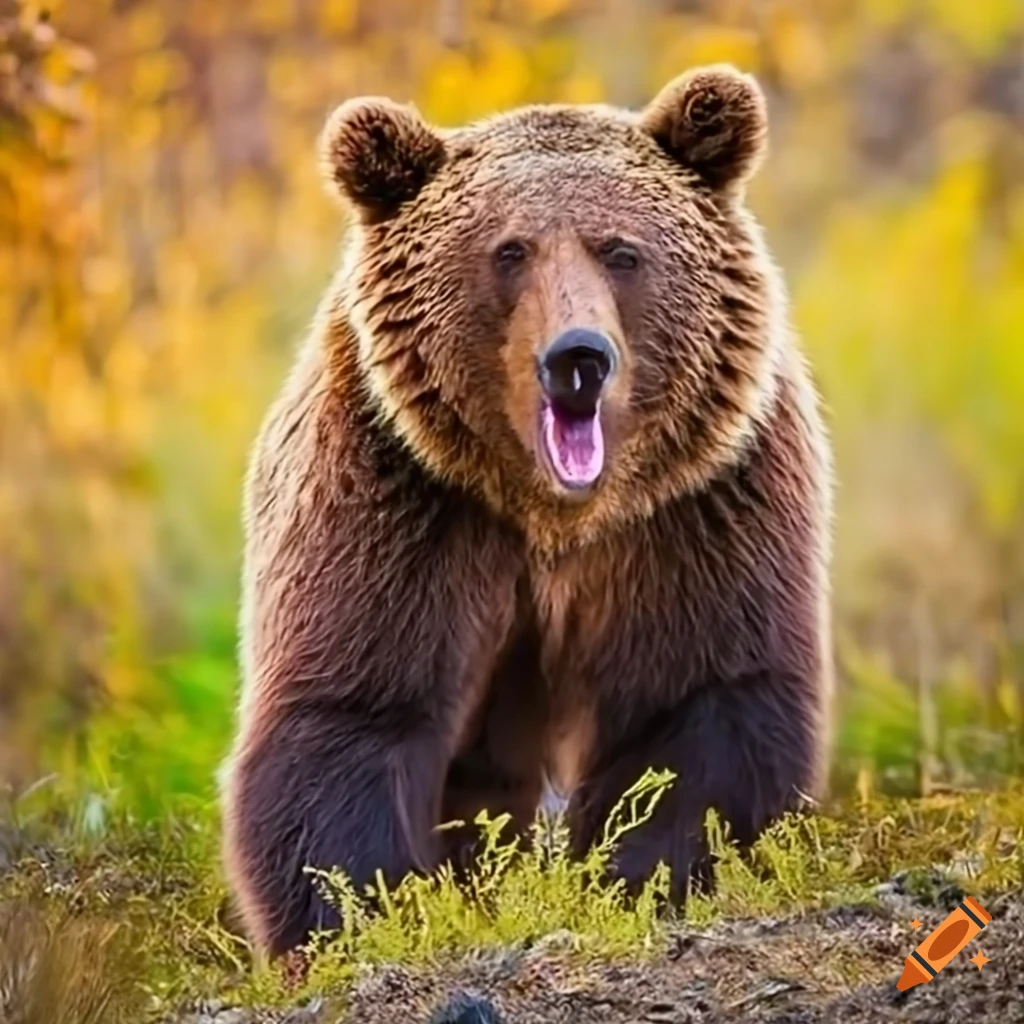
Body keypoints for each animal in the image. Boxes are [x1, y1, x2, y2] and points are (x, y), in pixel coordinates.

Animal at [219, 62, 834, 959]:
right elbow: (354, 708)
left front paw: (645, 881)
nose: (577, 357)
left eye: (621, 251)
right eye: (510, 251)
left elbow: (702, 703)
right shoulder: (403, 496)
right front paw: (366, 920)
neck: (555, 515)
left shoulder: (702, 503)